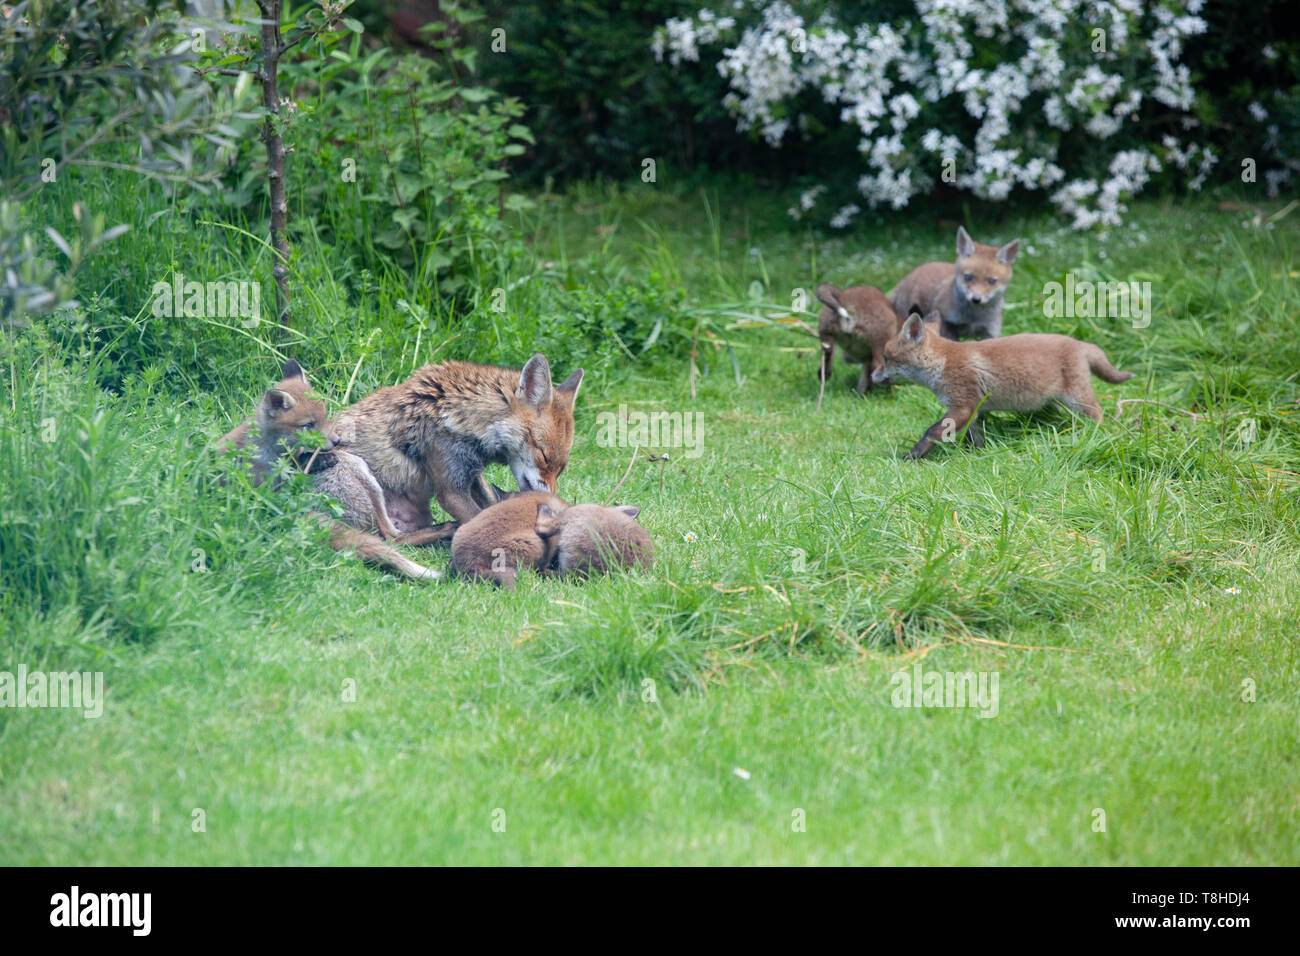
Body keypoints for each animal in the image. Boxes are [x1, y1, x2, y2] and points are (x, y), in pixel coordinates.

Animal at [328, 353, 583, 532]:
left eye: (562, 468)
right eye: (544, 457)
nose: (550, 498)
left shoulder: (471, 475)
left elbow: (492, 504)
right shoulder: (451, 490)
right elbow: (479, 518)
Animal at [872, 309, 1135, 459]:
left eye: (885, 358)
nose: (873, 376)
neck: (941, 363)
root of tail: (1080, 343)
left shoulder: (962, 404)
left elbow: (932, 431)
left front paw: (912, 455)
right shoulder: (971, 409)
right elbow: (974, 437)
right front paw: (978, 455)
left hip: (1078, 399)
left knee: (1099, 414)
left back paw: (1099, 437)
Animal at [888, 226, 1020, 340]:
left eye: (991, 281)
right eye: (968, 277)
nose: (976, 299)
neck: (974, 318)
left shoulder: (990, 331)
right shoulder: (947, 325)